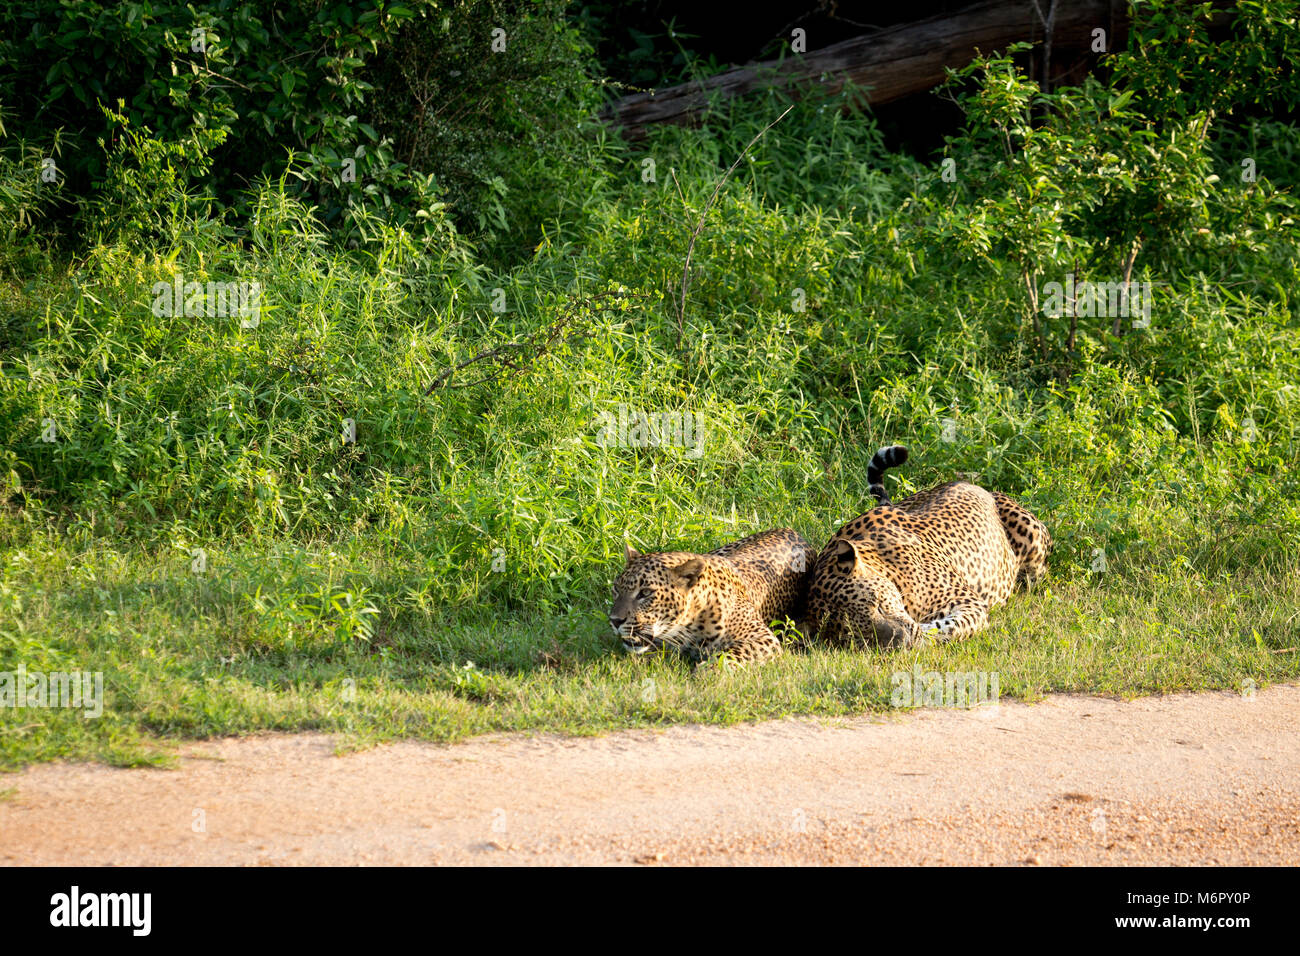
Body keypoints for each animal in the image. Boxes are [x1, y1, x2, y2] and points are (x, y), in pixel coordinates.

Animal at [609, 528, 816, 665]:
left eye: (645, 593)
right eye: (616, 588)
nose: (614, 620)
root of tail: (792, 531)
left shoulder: (763, 638)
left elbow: (729, 654)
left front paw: (706, 672)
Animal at [805, 445, 1051, 648]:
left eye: (878, 606)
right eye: (859, 636)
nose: (903, 640)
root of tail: (977, 486)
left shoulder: (967, 601)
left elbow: (952, 626)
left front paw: (924, 633)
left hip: (1032, 537)